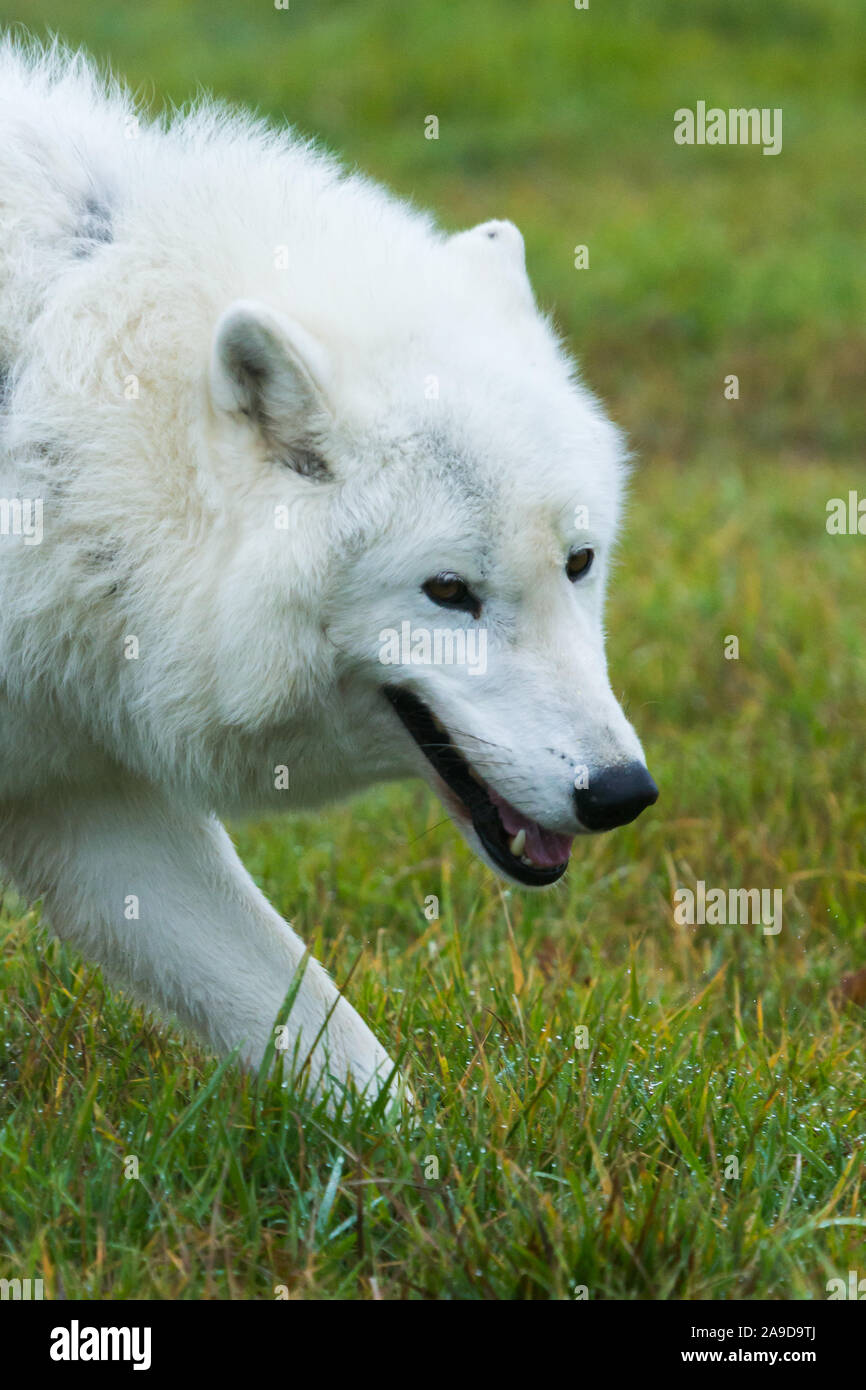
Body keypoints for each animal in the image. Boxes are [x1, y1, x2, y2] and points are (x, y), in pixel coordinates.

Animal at [0, 38, 657, 1104]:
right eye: (448, 592)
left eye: (578, 562)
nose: (621, 792)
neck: (54, 444)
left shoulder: (87, 805)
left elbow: (330, 1037)